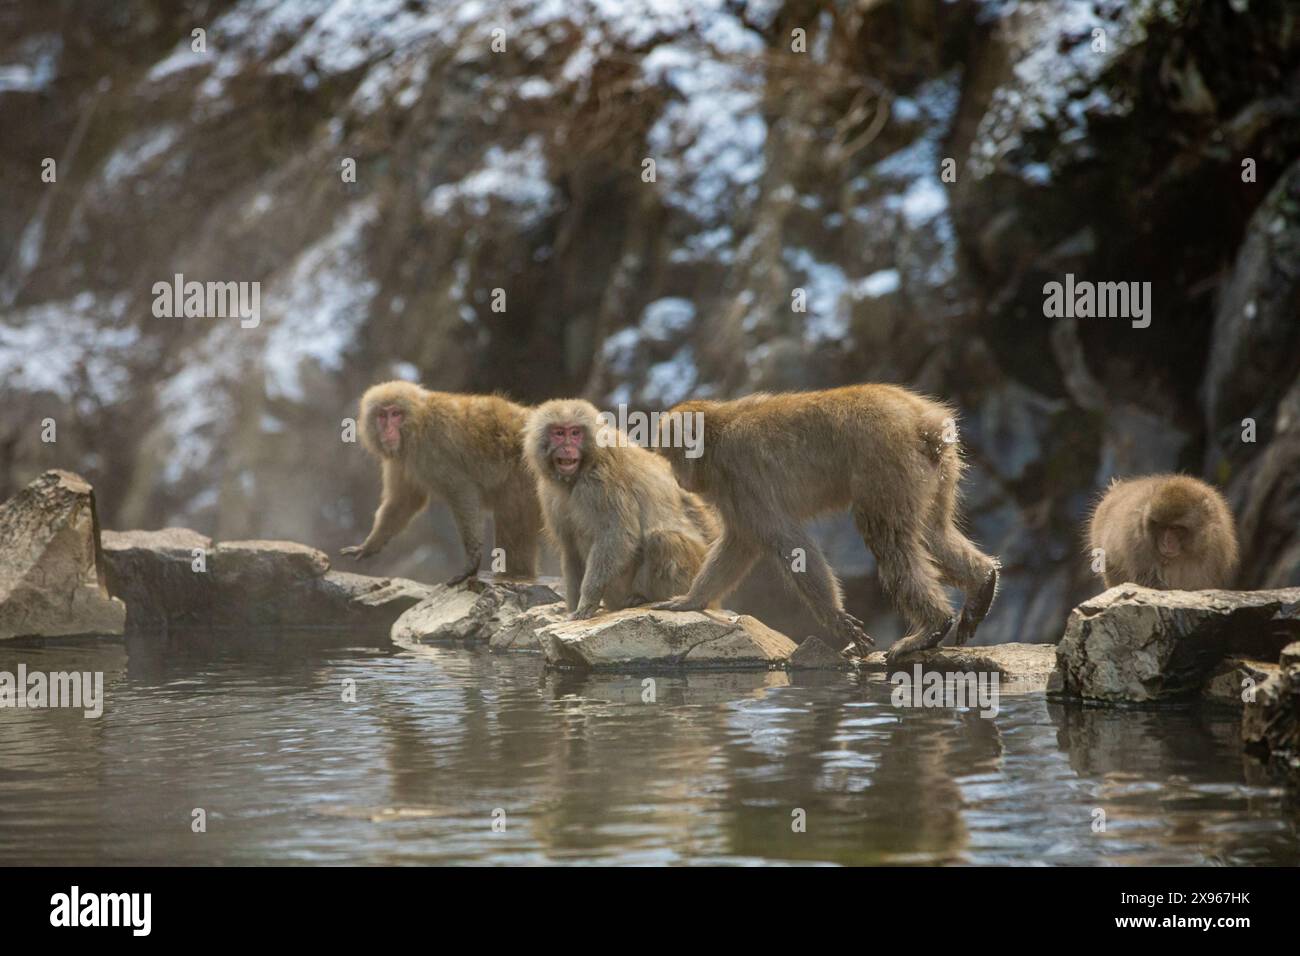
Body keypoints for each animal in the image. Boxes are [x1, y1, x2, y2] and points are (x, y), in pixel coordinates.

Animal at [341, 381, 543, 585]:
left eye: (396, 414)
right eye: (382, 416)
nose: (388, 430)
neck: (418, 425)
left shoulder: (435, 447)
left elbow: (462, 490)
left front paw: (472, 560)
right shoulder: (401, 459)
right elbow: (404, 501)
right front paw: (370, 545)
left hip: (524, 474)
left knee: (513, 513)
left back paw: (516, 576)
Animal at [523, 398, 720, 619]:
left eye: (574, 433)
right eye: (558, 432)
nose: (567, 448)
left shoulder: (600, 482)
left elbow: (617, 537)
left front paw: (587, 602)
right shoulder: (549, 494)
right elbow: (570, 547)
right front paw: (572, 608)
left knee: (663, 539)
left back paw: (644, 598)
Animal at [651, 385, 1000, 663]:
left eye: (673, 457)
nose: (678, 479)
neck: (718, 432)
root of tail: (921, 420)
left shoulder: (739, 470)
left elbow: (786, 540)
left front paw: (836, 619)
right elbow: (742, 541)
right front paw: (692, 600)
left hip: (889, 462)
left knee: (888, 539)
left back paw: (932, 626)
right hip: (937, 469)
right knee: (933, 531)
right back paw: (982, 583)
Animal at [1087, 474, 1239, 591]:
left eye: (1175, 528)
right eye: (1161, 526)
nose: (1166, 543)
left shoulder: (1217, 545)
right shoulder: (1137, 541)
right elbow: (1148, 579)